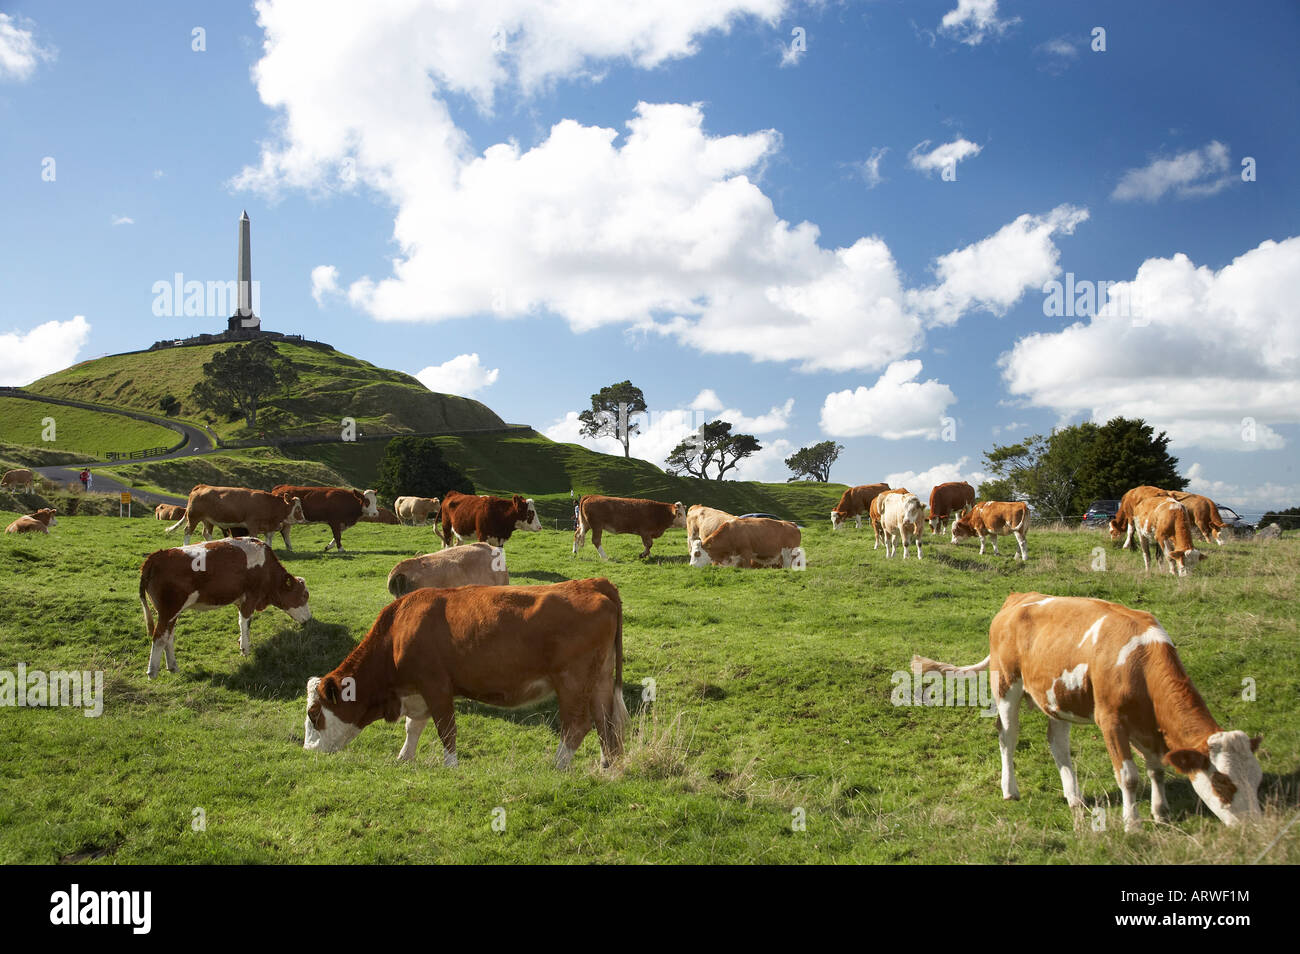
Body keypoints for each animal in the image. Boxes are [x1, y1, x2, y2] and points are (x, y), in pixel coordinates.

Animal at [138, 537, 311, 678]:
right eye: (304, 595)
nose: (310, 619)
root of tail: (156, 557)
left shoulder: (241, 600)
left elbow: (243, 623)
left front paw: (241, 641)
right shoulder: (250, 597)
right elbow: (245, 623)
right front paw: (245, 649)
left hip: (171, 614)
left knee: (168, 637)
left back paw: (173, 666)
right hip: (168, 611)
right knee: (159, 637)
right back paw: (152, 671)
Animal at [166, 485, 306, 547]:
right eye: (298, 509)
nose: (304, 519)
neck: (269, 504)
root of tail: (201, 486)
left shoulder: (268, 526)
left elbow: (268, 539)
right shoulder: (253, 525)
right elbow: (254, 537)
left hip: (207, 520)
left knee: (206, 533)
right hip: (194, 517)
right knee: (187, 531)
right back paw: (186, 546)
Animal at [303, 578, 626, 769]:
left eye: (314, 714)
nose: (308, 751)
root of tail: (592, 583)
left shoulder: (436, 686)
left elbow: (446, 729)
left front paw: (450, 767)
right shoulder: (417, 691)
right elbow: (413, 727)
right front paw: (404, 757)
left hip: (572, 680)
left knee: (578, 725)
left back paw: (557, 765)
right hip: (600, 679)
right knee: (606, 721)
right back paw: (607, 766)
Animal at [912, 592, 1263, 830]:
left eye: (1257, 779)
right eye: (1223, 784)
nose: (1255, 828)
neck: (1140, 661)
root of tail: (1017, 599)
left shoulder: (1147, 725)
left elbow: (1156, 769)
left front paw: (1160, 814)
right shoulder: (1110, 720)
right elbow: (1129, 776)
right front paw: (1132, 823)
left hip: (1057, 697)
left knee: (1057, 742)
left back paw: (1074, 797)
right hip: (1006, 685)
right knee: (1007, 737)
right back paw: (1010, 790)